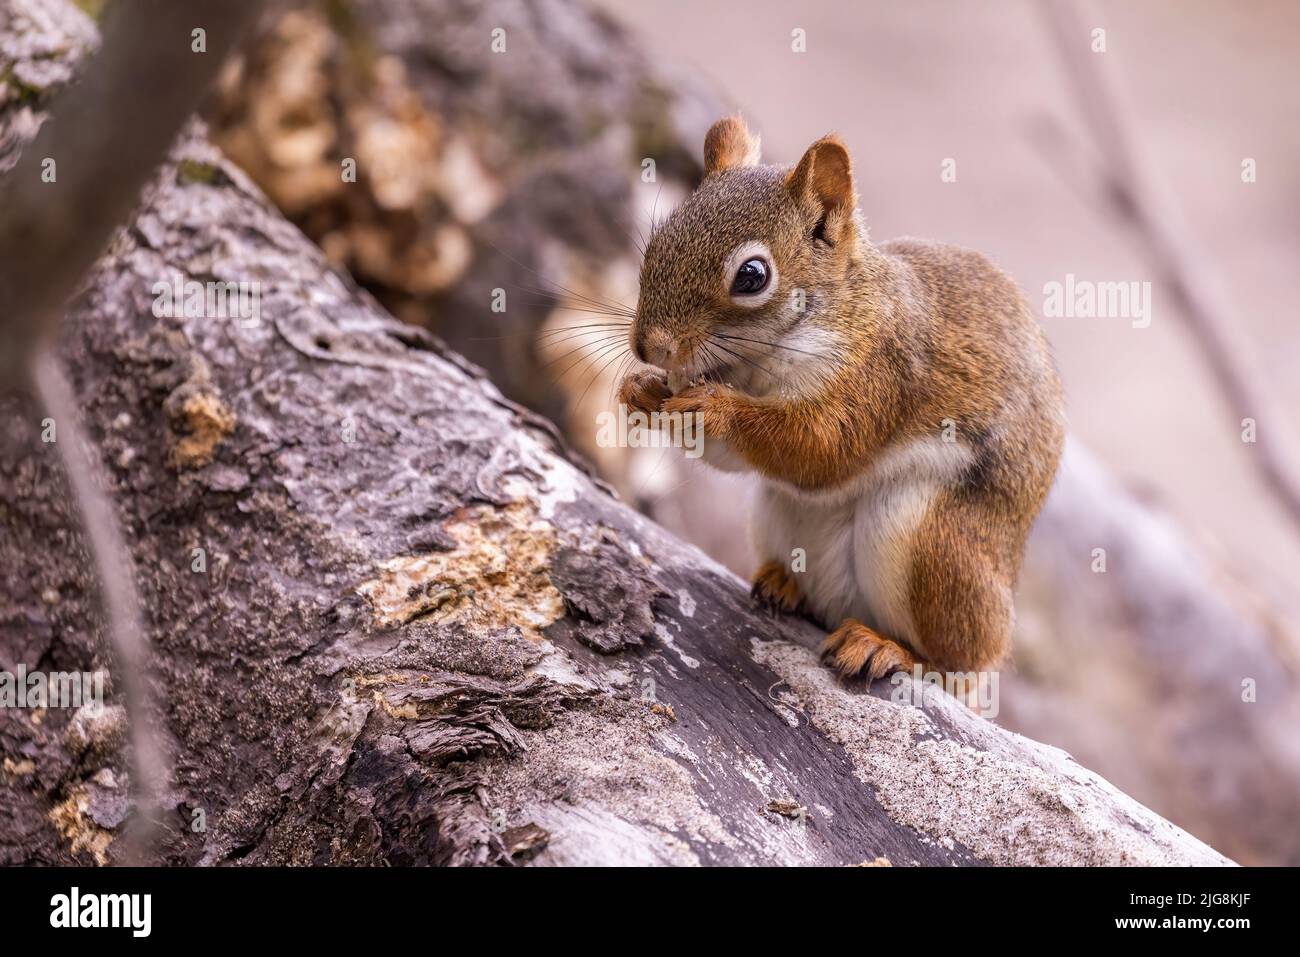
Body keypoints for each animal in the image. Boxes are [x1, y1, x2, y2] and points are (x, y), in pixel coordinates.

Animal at [617, 116, 1065, 682]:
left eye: (751, 276)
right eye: (659, 239)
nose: (648, 346)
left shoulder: (881, 373)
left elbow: (822, 448)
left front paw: (716, 409)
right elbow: (736, 461)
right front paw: (640, 389)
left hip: (929, 542)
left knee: (959, 660)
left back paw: (889, 648)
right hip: (773, 513)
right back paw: (786, 585)